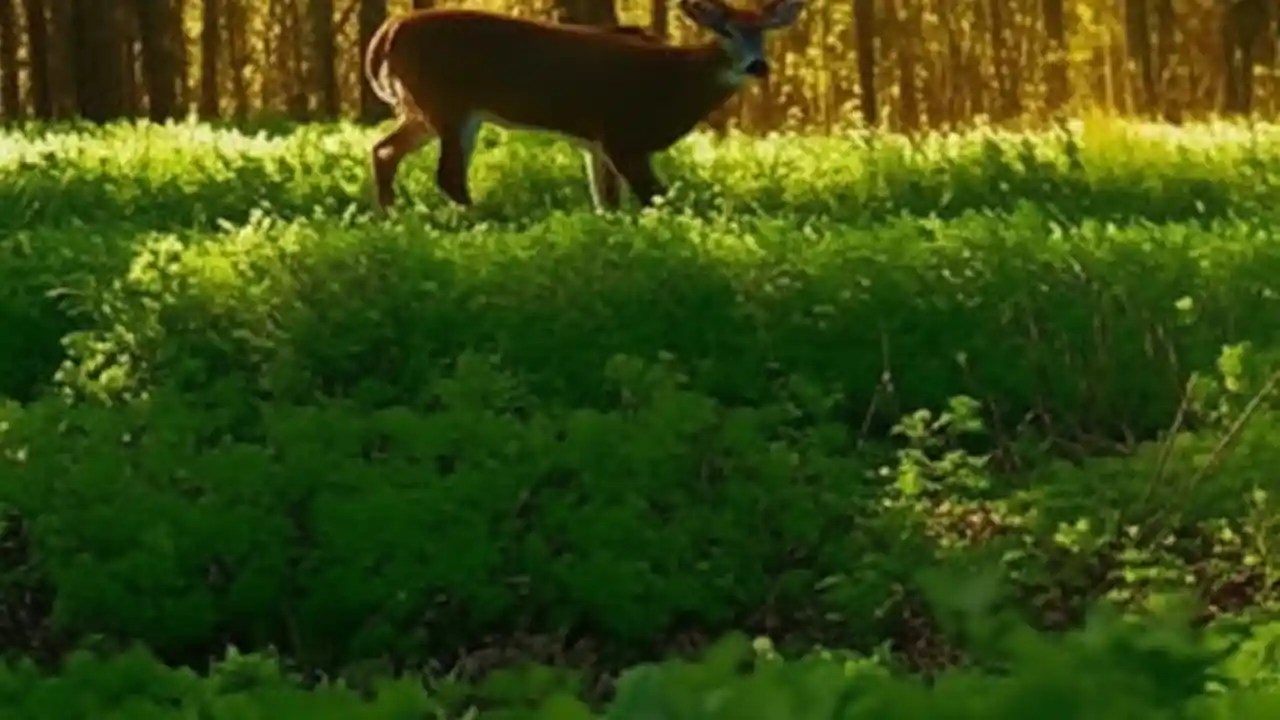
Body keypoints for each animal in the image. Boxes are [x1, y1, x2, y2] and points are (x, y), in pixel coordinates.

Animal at [363, 0, 805, 213]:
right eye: (725, 31)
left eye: (765, 32)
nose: (758, 65)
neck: (677, 82)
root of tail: (388, 31)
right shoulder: (622, 135)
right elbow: (654, 197)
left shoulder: (596, 143)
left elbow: (606, 202)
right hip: (450, 102)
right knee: (448, 175)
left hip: (422, 109)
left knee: (384, 150)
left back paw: (392, 216)